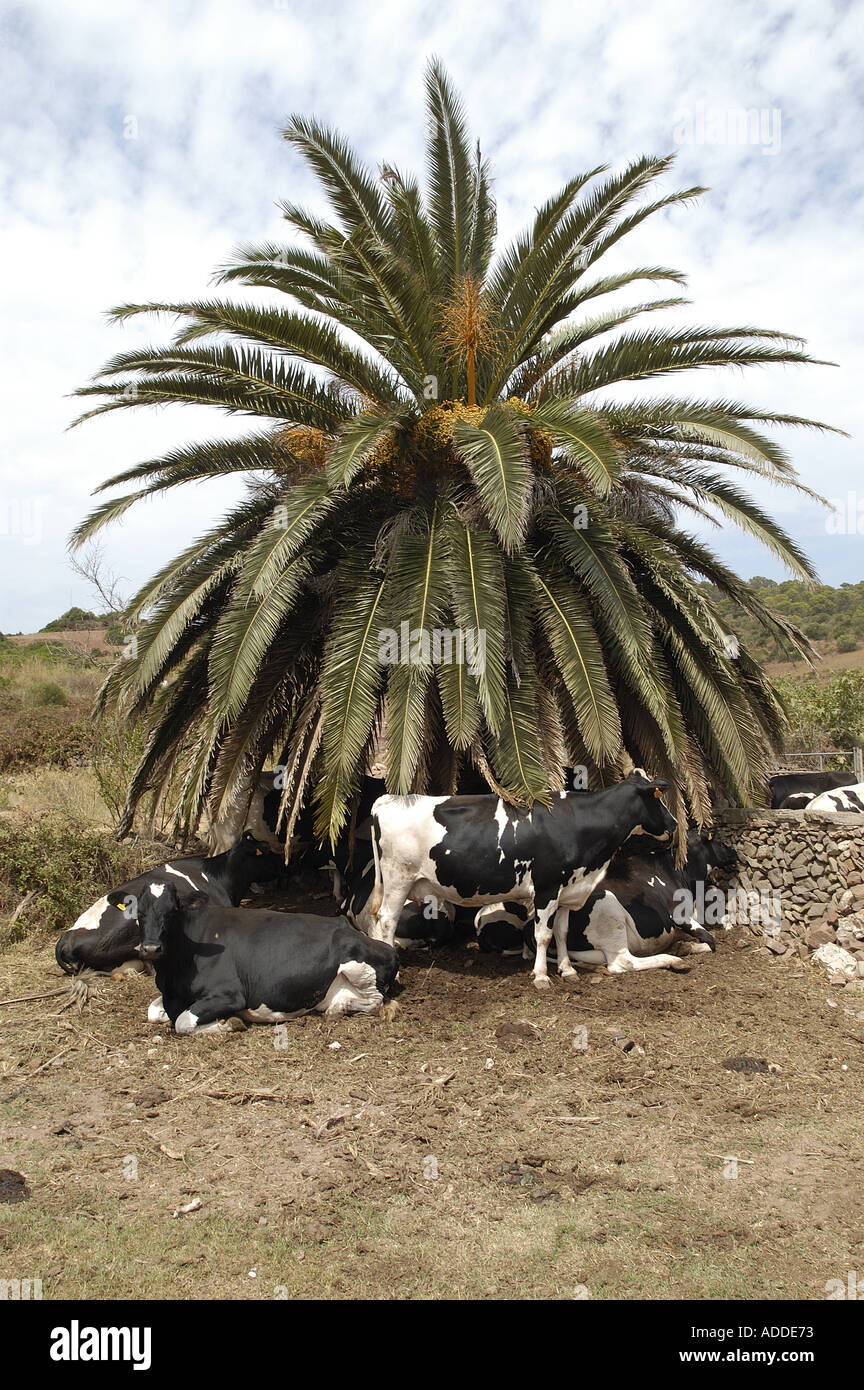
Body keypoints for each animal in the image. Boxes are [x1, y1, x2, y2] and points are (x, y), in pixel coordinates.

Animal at [110, 881, 399, 1035]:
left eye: (172, 912)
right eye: (139, 912)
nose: (150, 948)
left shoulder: (230, 995)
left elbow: (183, 1021)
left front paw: (230, 1022)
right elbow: (153, 1011)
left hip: (358, 966)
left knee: (378, 1001)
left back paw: (338, 1009)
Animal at [365, 776, 677, 988]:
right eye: (657, 798)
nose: (674, 825)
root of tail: (388, 800)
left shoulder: (568, 890)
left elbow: (562, 932)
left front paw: (567, 970)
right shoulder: (546, 889)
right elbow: (543, 935)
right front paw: (541, 976)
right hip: (398, 880)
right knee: (387, 921)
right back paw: (396, 970)